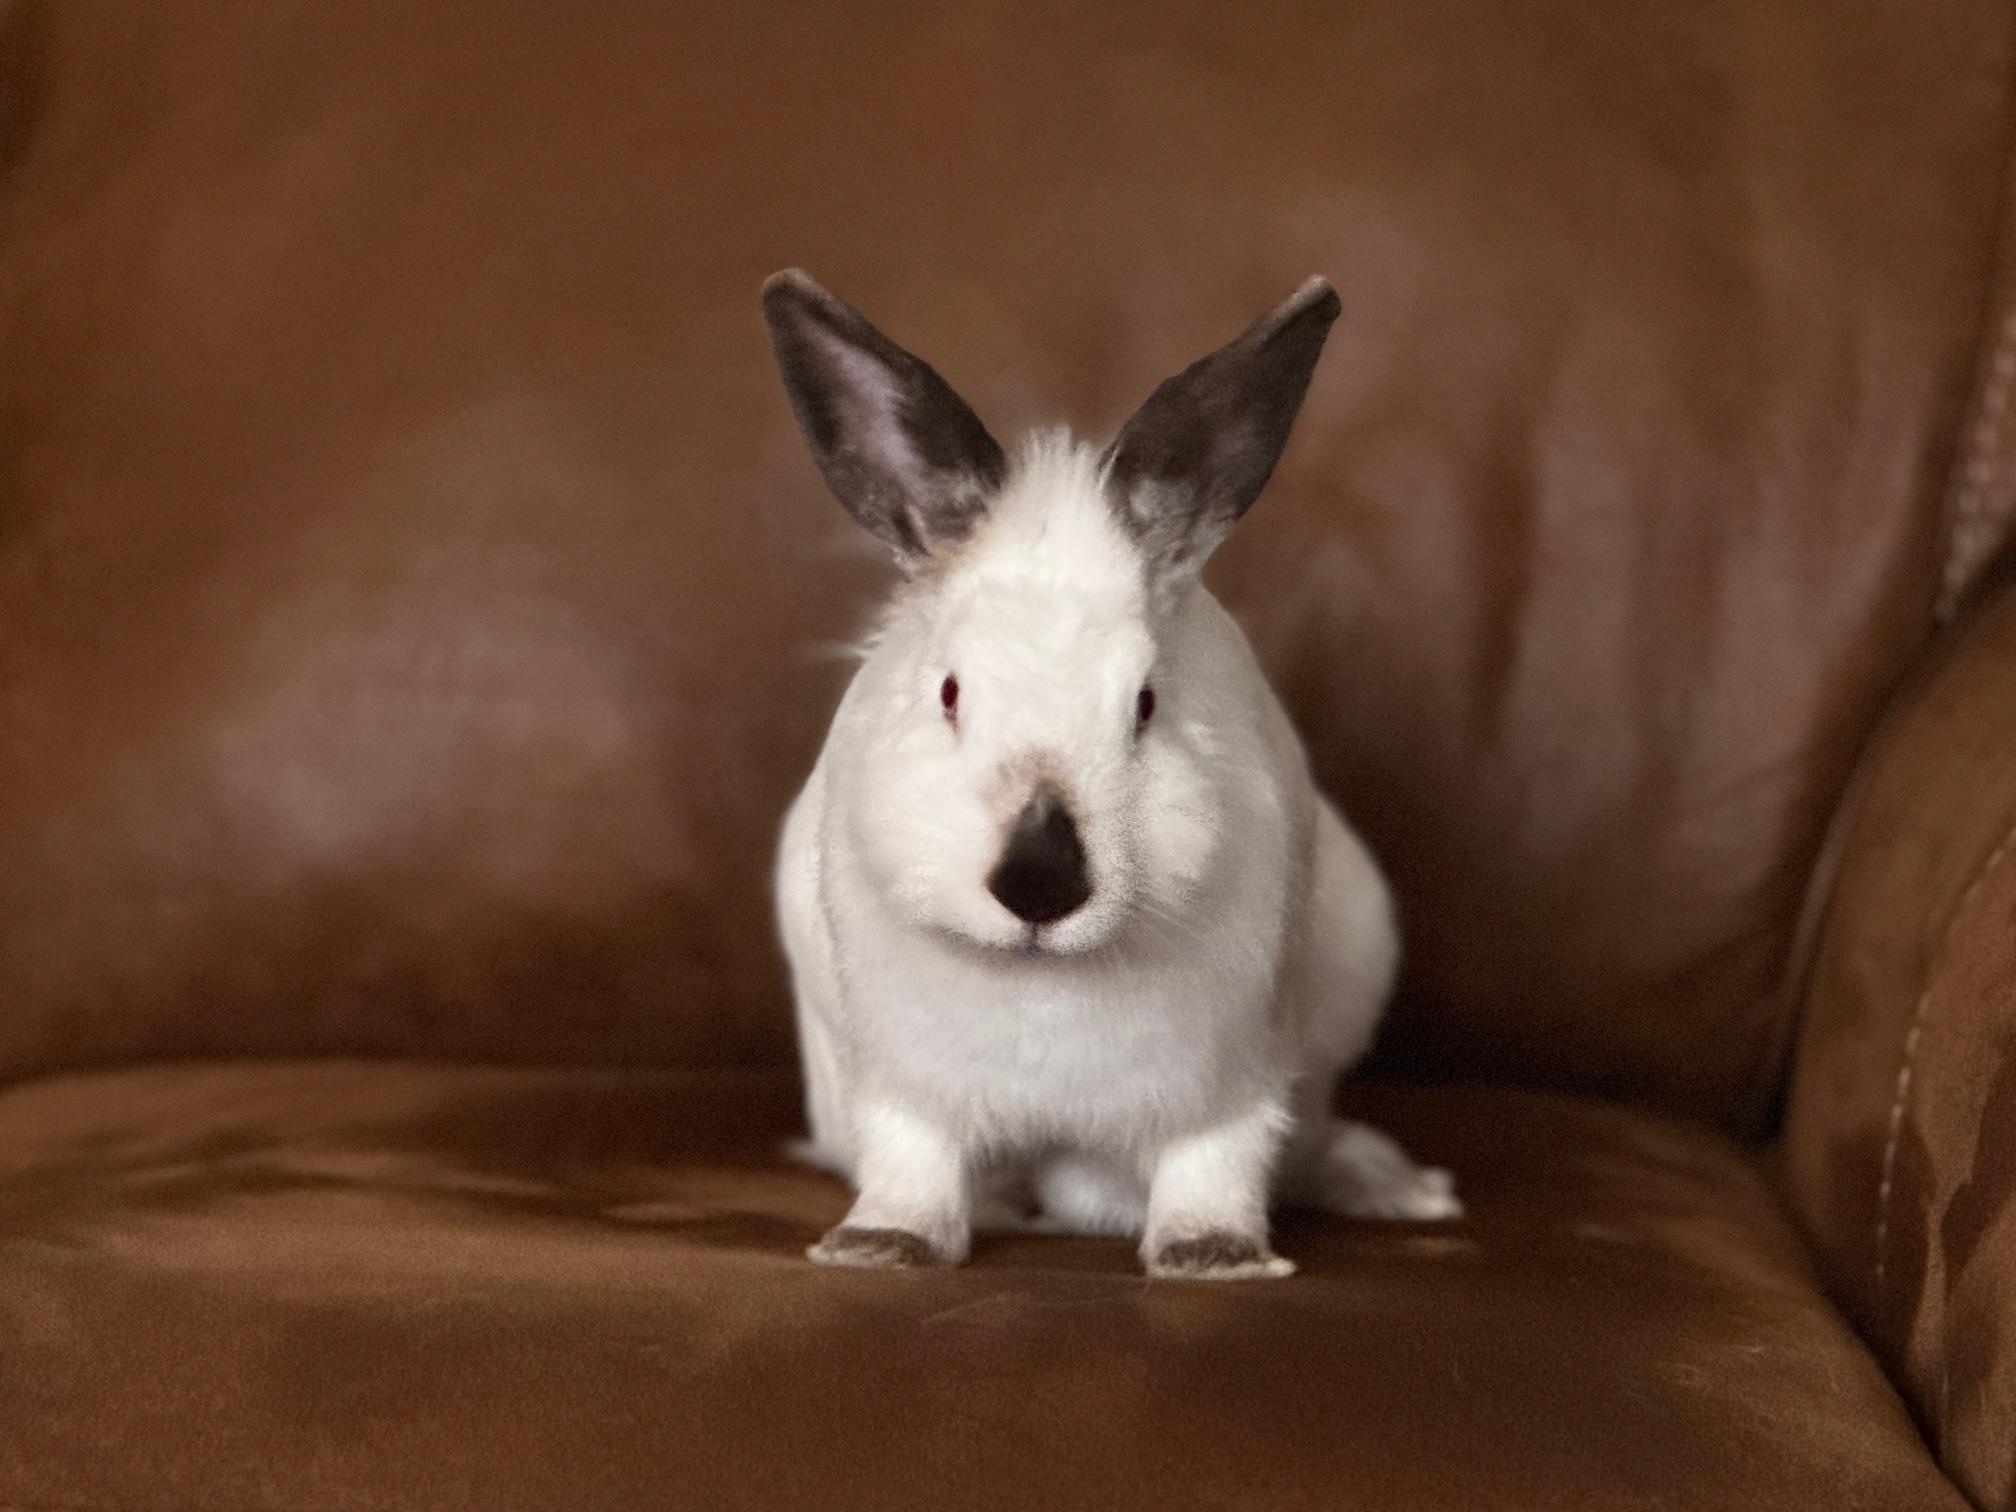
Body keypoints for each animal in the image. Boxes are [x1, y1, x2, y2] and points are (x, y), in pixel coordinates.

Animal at [761, 269, 1460, 1281]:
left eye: (1144, 702)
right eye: (950, 691)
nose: (1039, 882)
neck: (1046, 984)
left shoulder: (1231, 1080)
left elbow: (1215, 1165)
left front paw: (1211, 1256)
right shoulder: (899, 1084)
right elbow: (912, 1161)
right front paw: (879, 1244)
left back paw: (1393, 1187)